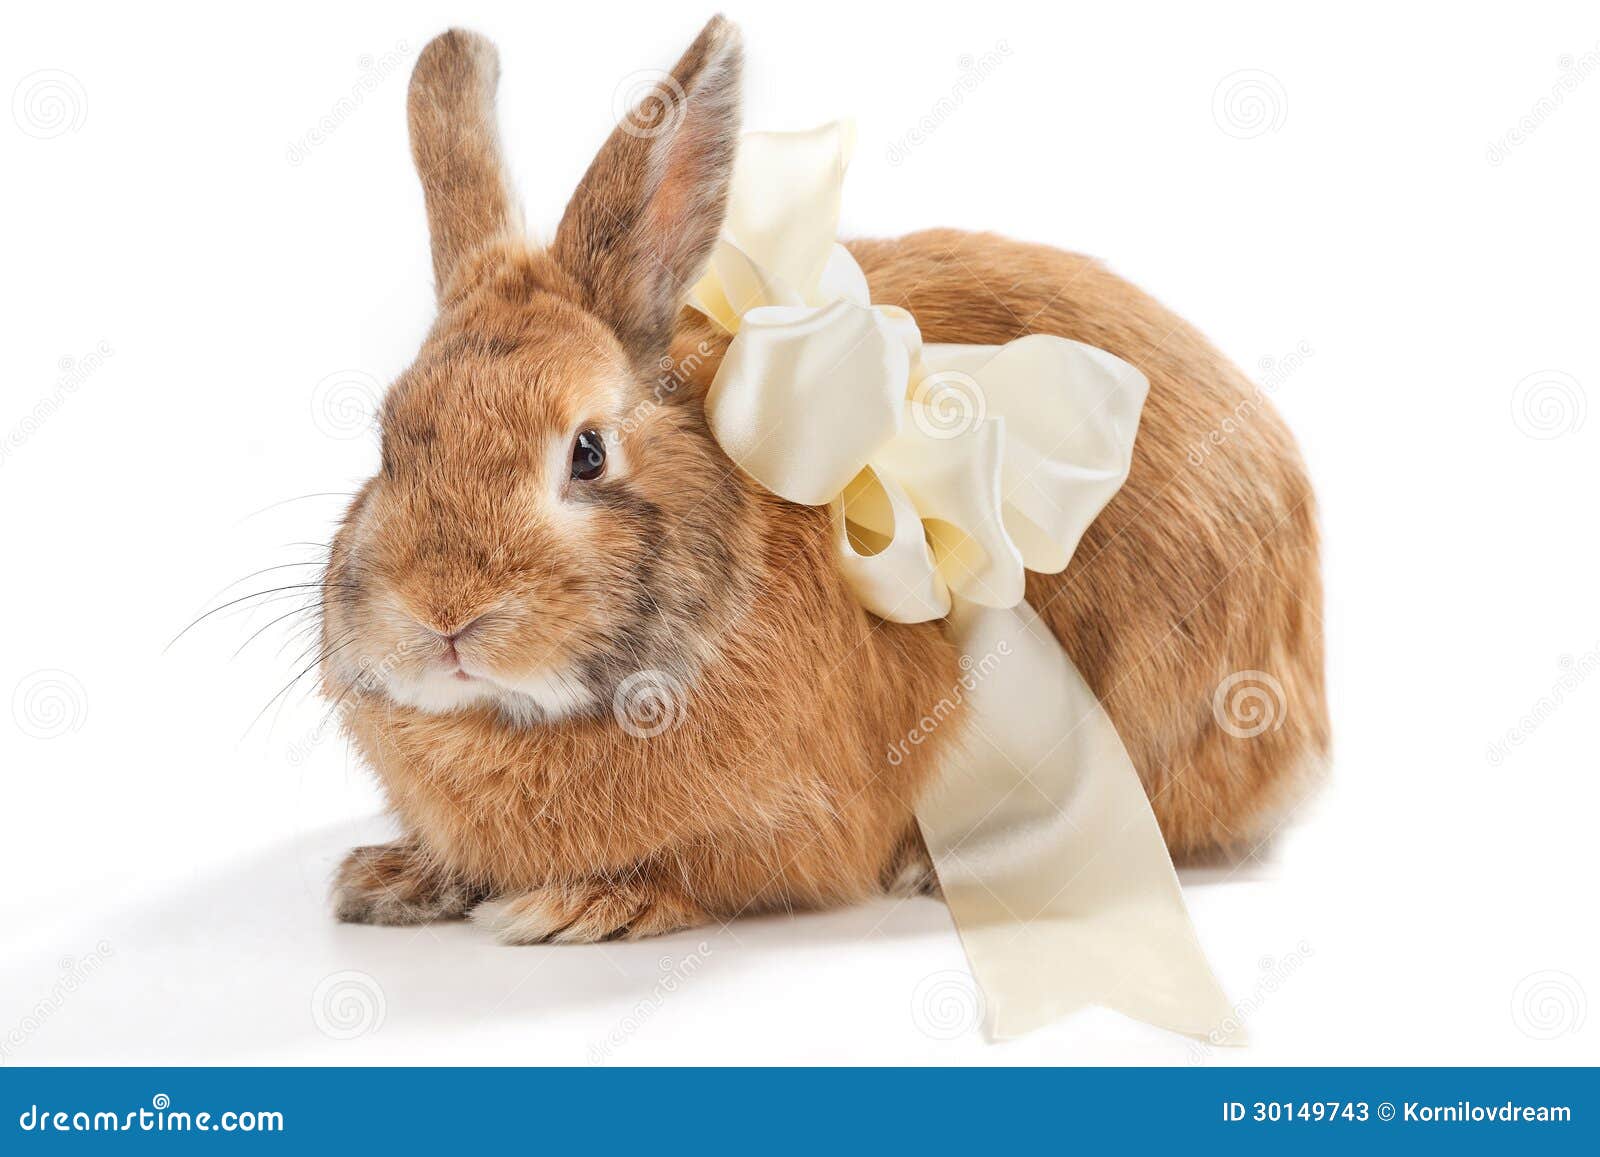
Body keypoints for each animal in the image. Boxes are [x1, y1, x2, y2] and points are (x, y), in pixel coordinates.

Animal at [323, 16, 1328, 943]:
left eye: (589, 451)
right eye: (388, 442)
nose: (443, 613)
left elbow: (705, 872)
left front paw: (578, 905)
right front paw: (388, 879)